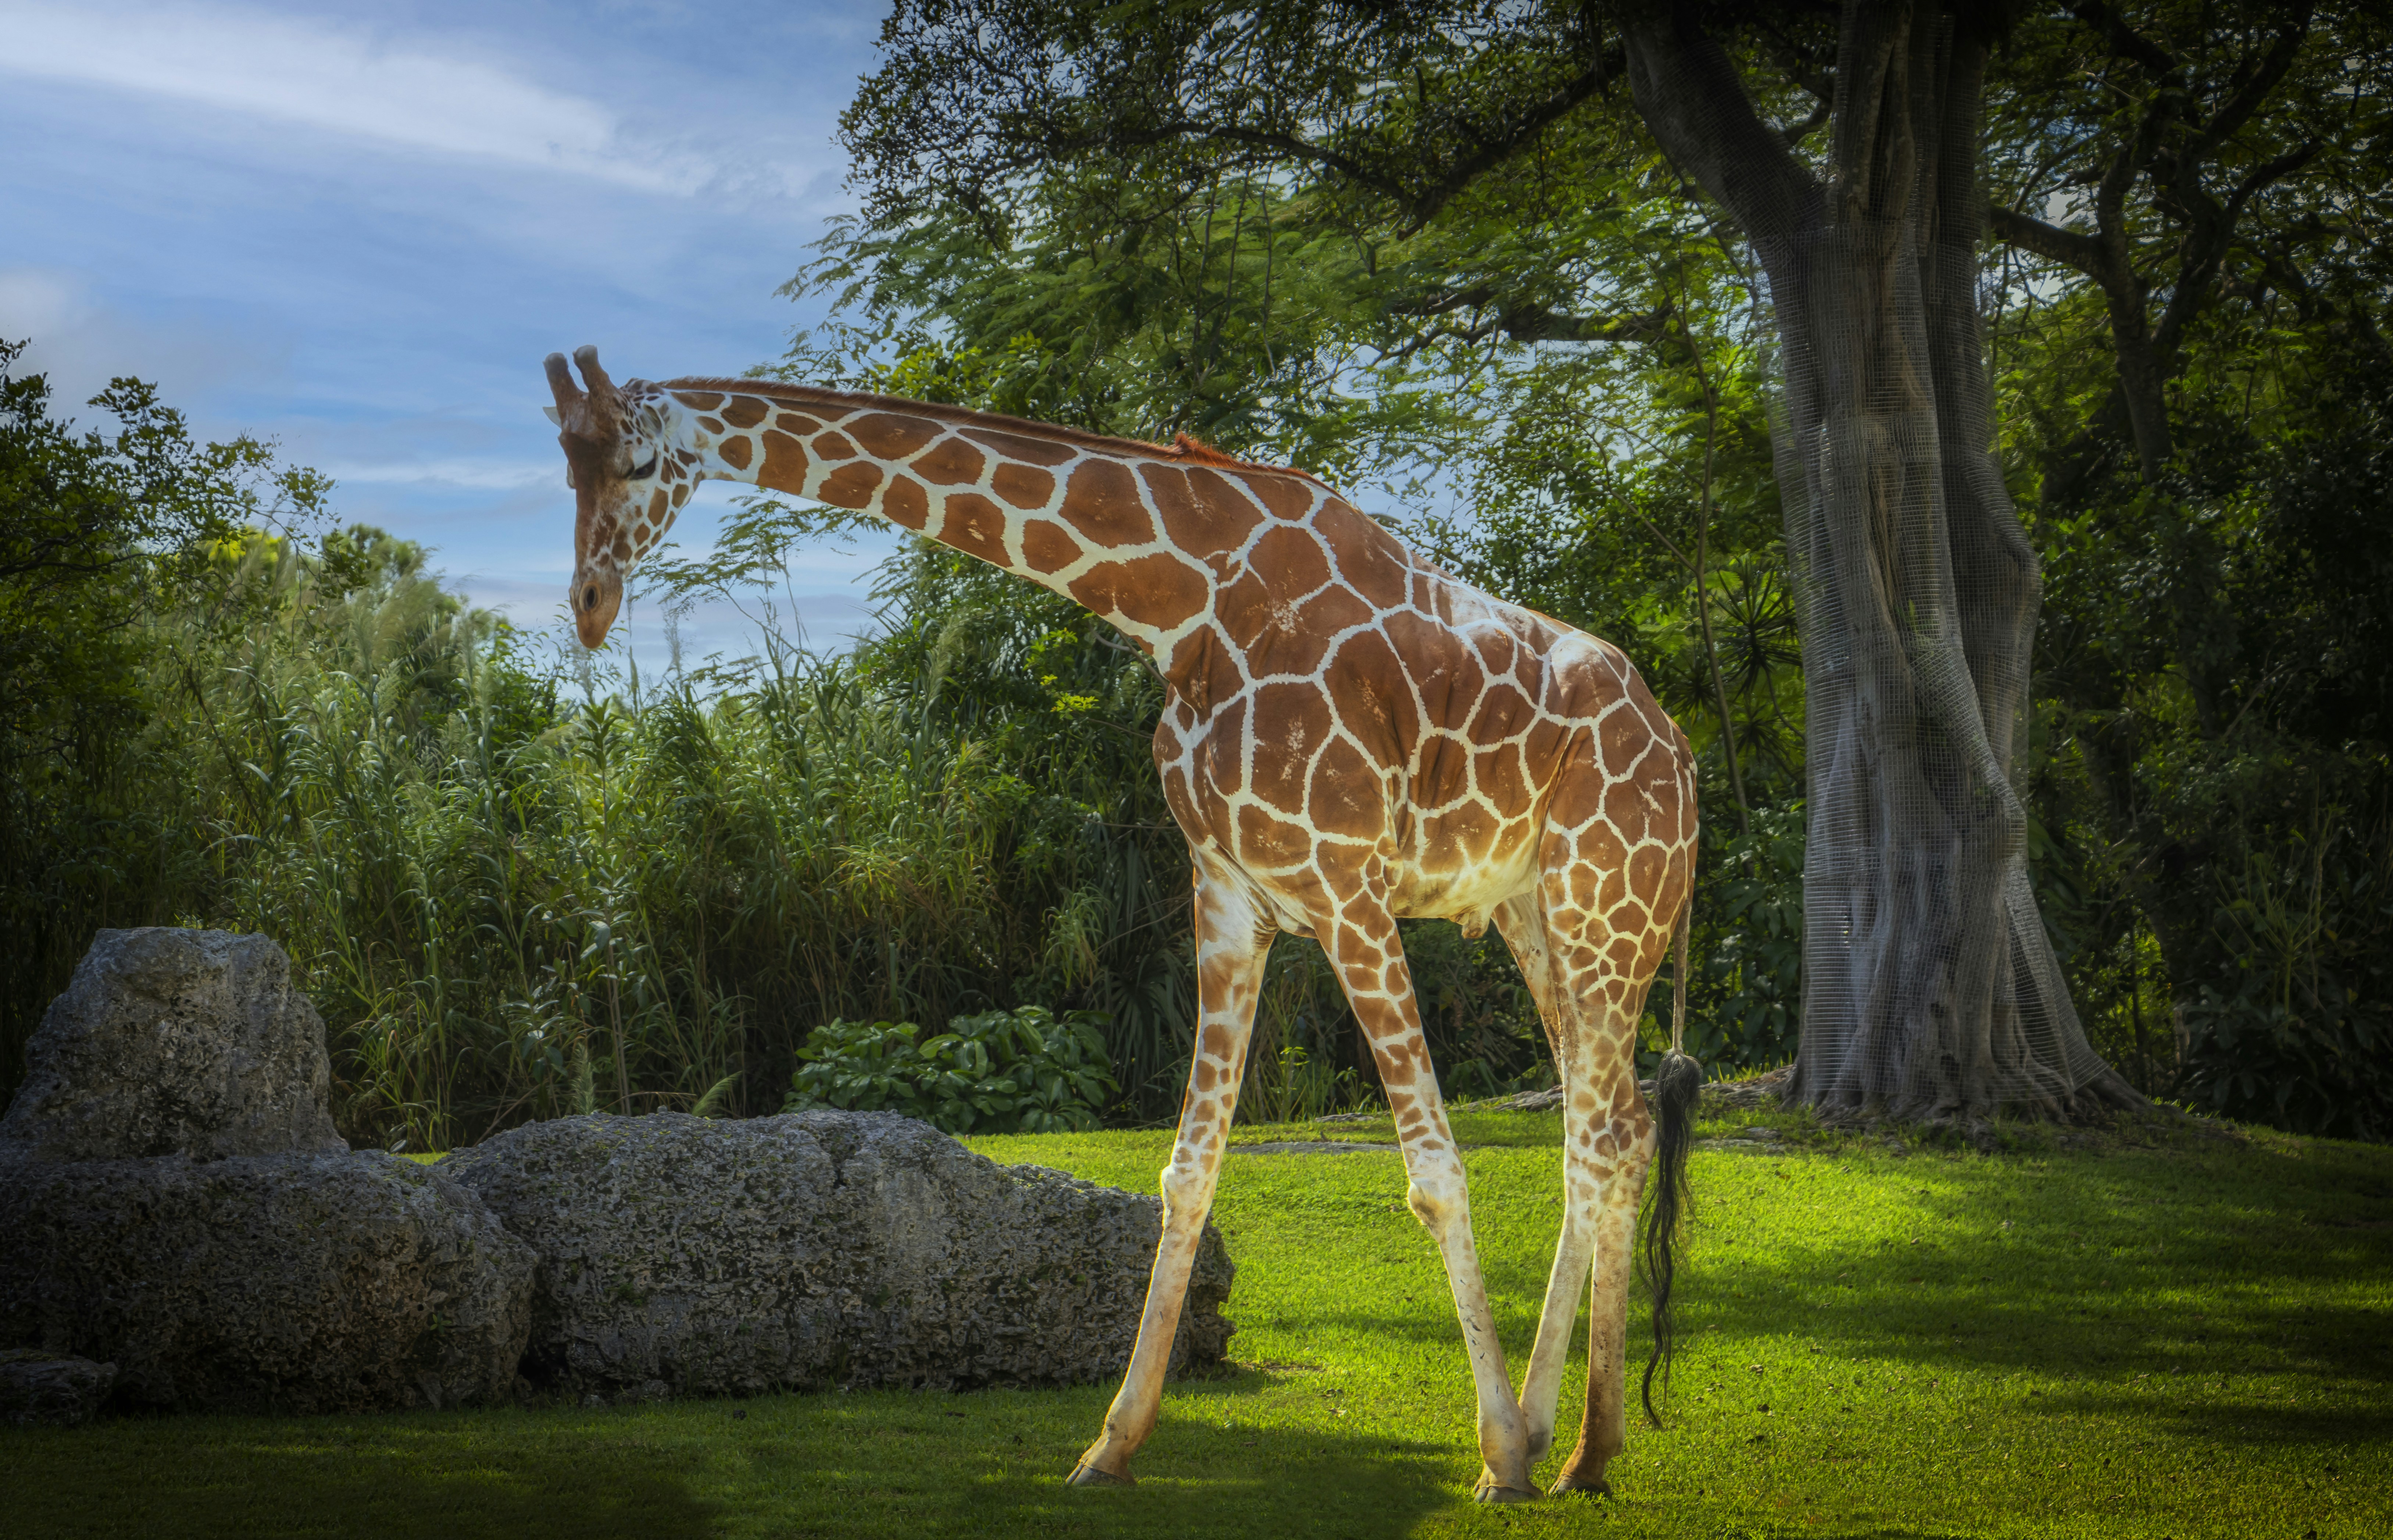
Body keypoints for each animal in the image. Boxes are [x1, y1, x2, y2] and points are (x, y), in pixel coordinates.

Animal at [542, 345, 1702, 1501]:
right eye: (565, 465)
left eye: (637, 462)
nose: (589, 606)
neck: (1180, 603)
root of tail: (1681, 752)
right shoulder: (1229, 893)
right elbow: (1185, 1172)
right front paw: (1109, 1443)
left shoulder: (1345, 887)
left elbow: (1434, 1174)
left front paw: (1495, 1453)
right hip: (1531, 911)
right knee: (1604, 1128)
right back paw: (1569, 1439)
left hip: (1607, 899)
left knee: (1603, 1135)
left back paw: (1574, 1446)